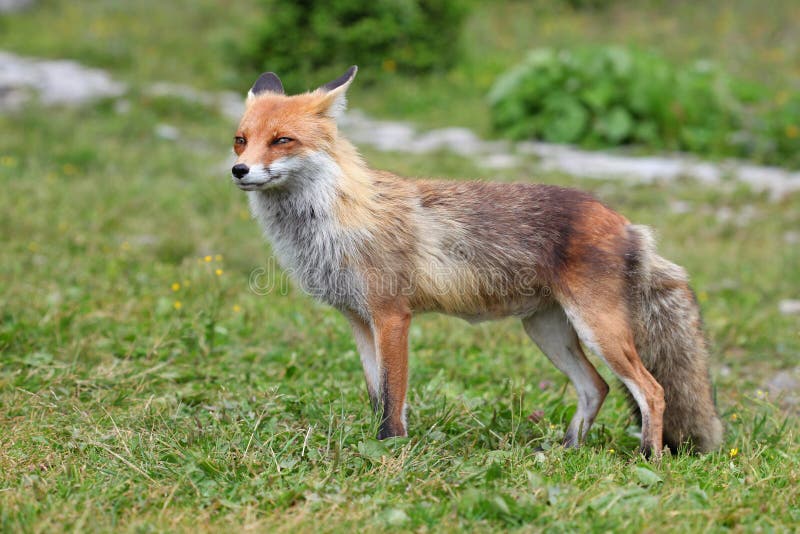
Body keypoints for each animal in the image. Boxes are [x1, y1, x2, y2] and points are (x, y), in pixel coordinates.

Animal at [230, 66, 724, 457]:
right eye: (241, 140)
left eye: (282, 140)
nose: (239, 171)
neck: (335, 219)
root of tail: (626, 221)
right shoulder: (357, 319)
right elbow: (376, 396)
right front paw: (373, 445)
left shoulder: (392, 317)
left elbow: (393, 399)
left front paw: (390, 452)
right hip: (547, 331)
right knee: (596, 387)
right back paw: (564, 451)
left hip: (598, 330)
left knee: (653, 390)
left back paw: (649, 459)